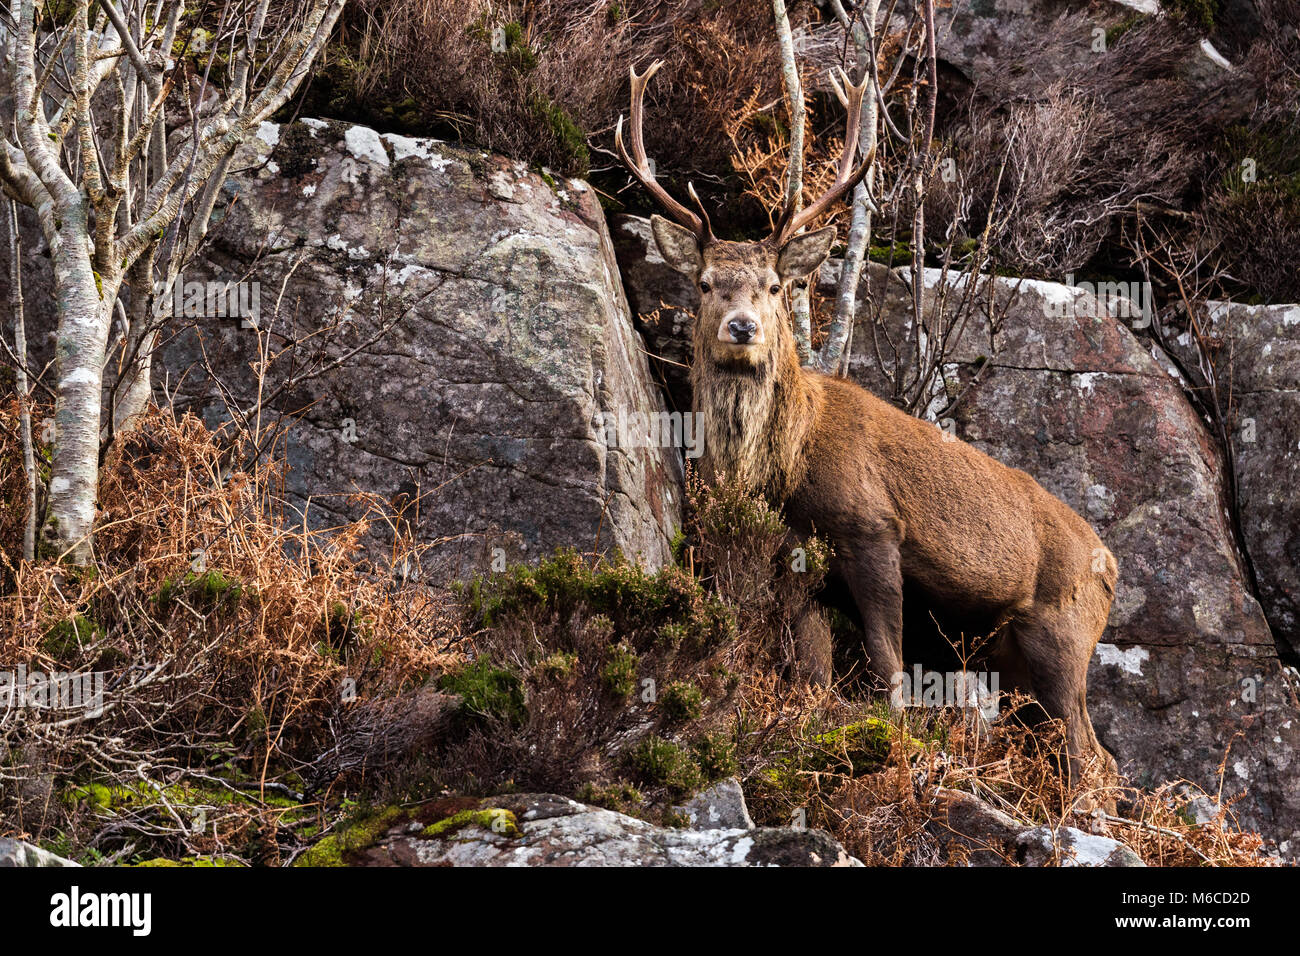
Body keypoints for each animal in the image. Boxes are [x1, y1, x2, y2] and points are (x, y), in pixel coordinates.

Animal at [616, 61, 1119, 790]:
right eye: (706, 283)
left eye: (775, 286)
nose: (743, 327)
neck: (786, 470)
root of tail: (1112, 565)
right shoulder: (795, 568)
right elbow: (813, 676)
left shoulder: (874, 528)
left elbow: (886, 666)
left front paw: (895, 750)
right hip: (1015, 656)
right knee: (1074, 747)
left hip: (1063, 629)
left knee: (1090, 754)